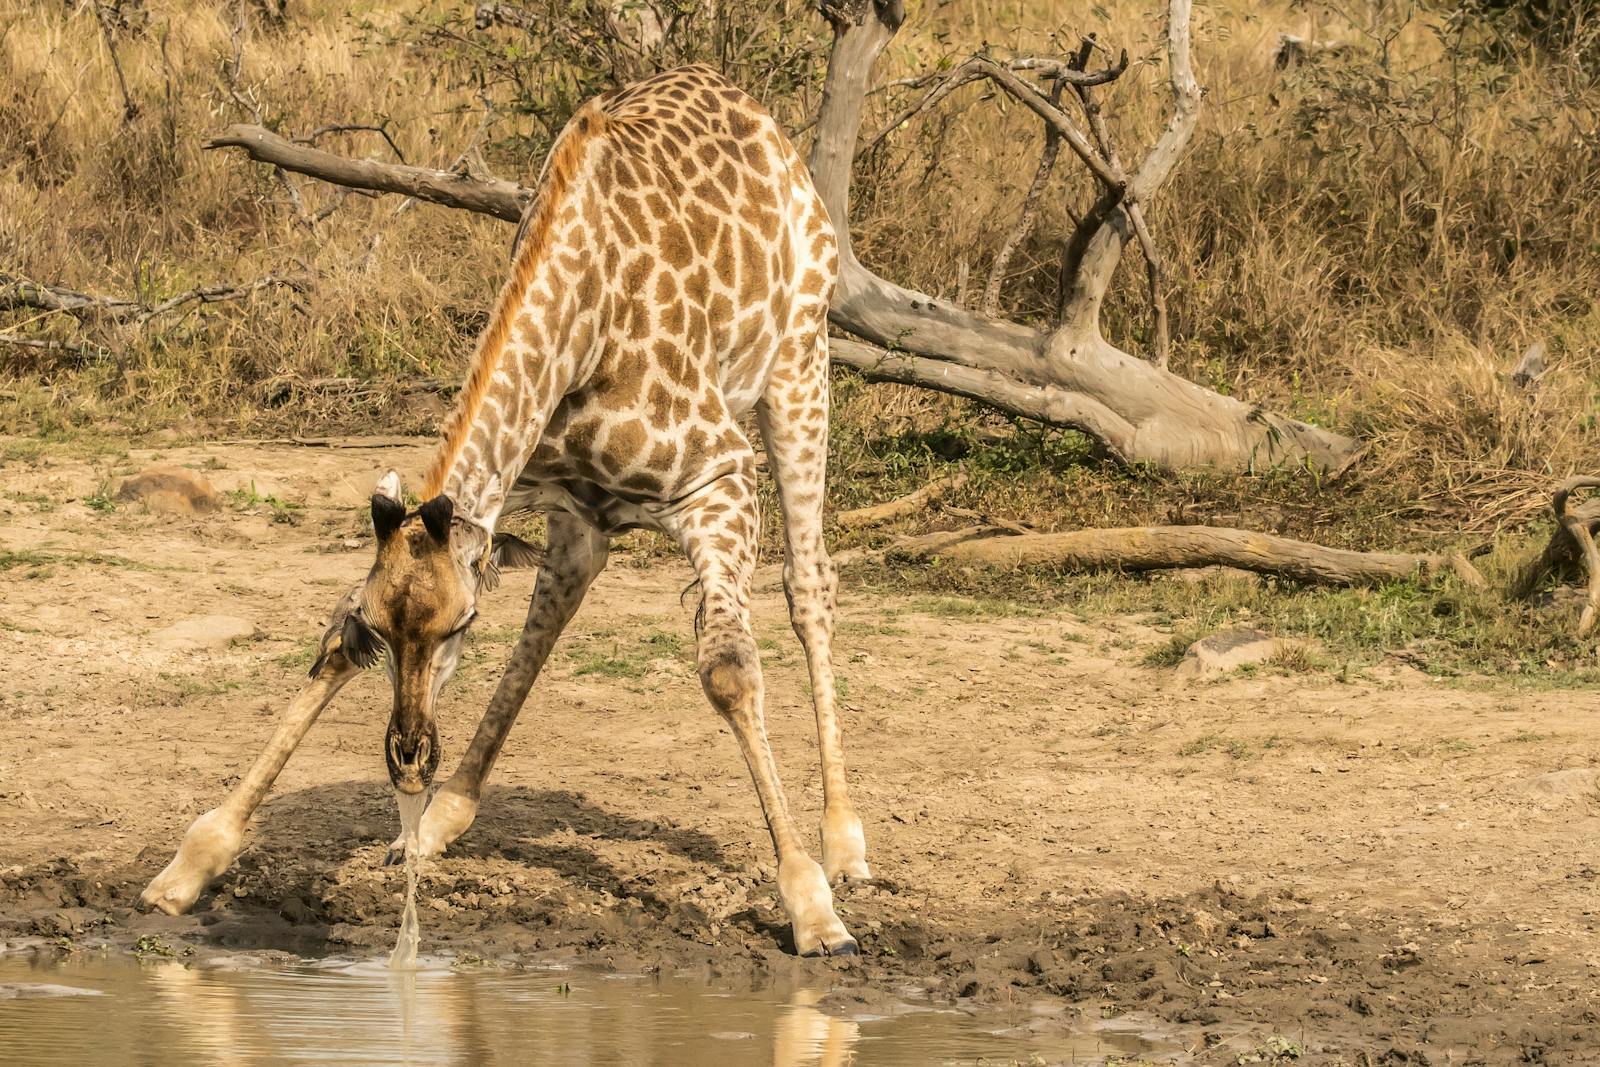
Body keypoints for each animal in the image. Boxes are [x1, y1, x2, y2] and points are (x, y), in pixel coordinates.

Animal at [140, 65, 868, 956]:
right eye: (384, 629)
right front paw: (191, 863)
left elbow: (728, 670)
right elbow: (335, 637)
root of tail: (753, 112)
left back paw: (844, 840)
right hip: (587, 510)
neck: (582, 321)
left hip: (800, 363)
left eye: (459, 625)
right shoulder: (497, 494)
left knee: (808, 585)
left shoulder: (718, 478)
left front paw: (810, 904)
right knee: (559, 600)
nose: (409, 759)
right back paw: (439, 818)